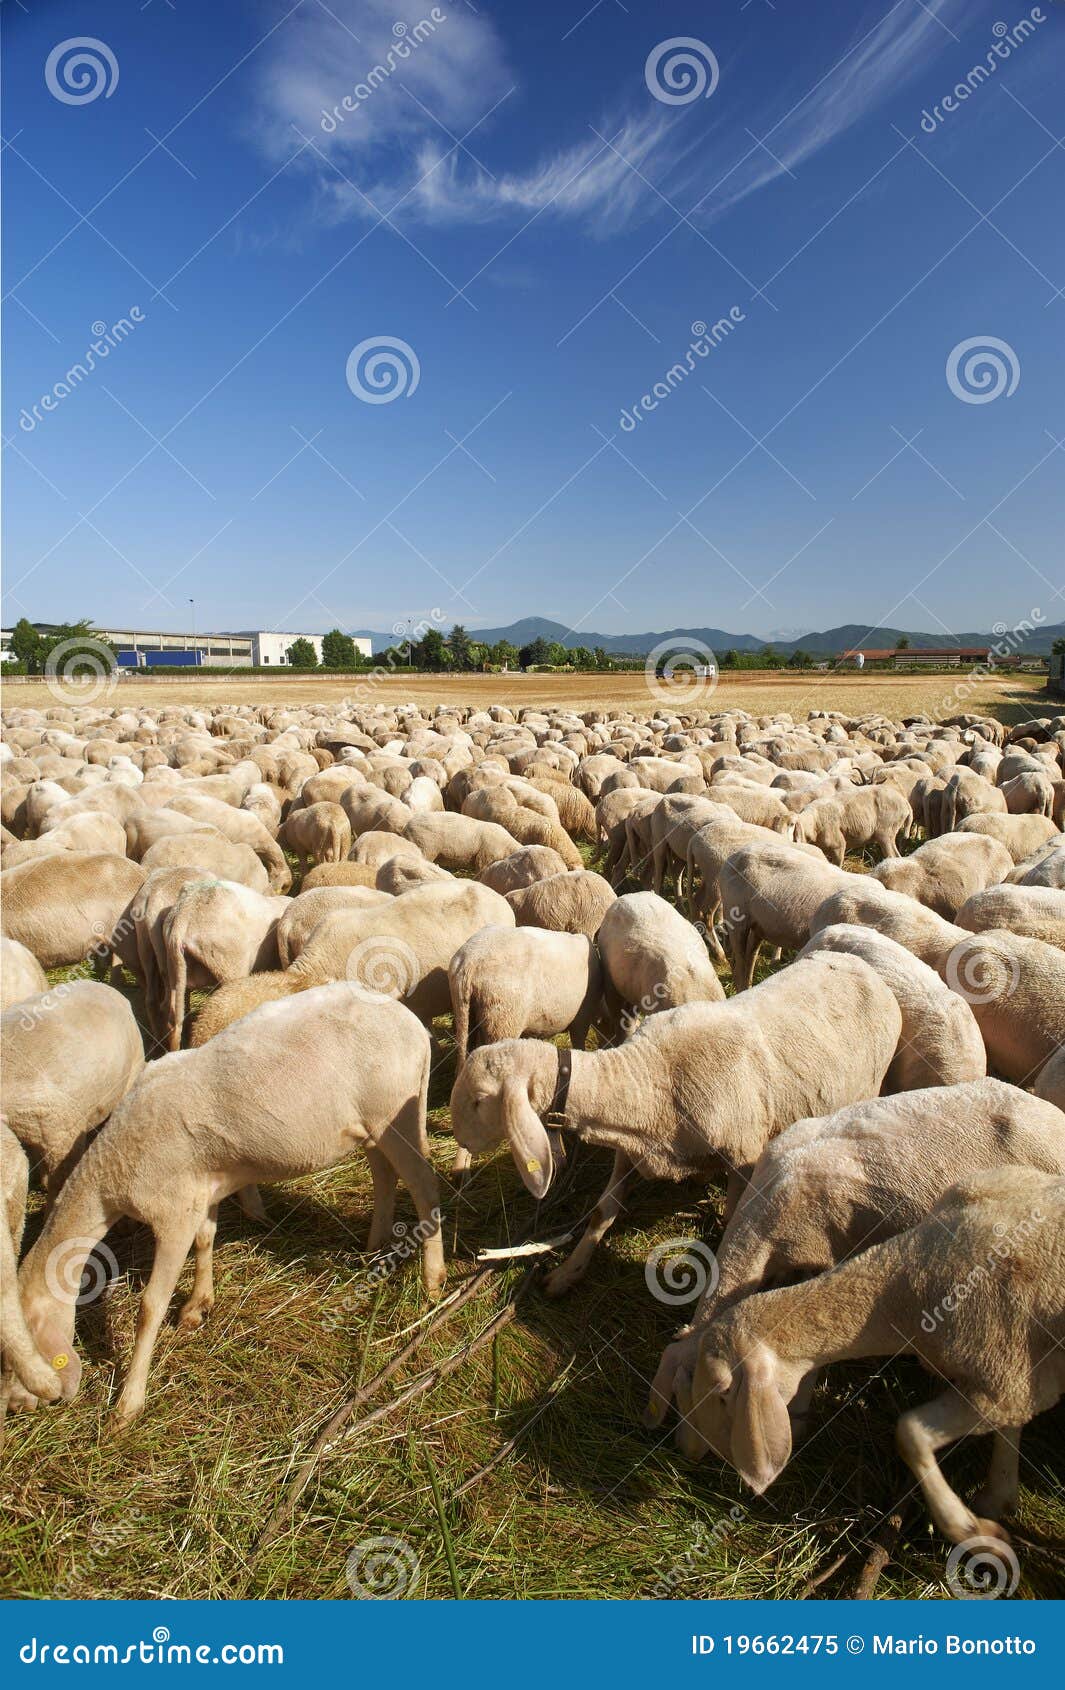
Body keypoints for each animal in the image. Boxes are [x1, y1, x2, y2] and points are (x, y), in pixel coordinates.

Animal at [14, 985, 444, 1422]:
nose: (16, 1406)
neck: (110, 1172)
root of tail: (412, 1026)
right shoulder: (202, 1189)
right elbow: (206, 1241)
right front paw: (197, 1306)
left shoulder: (173, 1214)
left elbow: (150, 1306)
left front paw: (127, 1404)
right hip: (370, 1125)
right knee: (384, 1174)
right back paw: (374, 1246)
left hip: (394, 1112)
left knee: (423, 1185)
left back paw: (433, 1278)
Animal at [450, 951, 902, 1296]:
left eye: (479, 1100)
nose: (456, 1135)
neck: (653, 1075)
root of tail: (865, 969)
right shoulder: (630, 1148)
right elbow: (601, 1211)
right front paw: (566, 1274)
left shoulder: (744, 1156)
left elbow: (733, 1222)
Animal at [674, 1166, 1064, 1546]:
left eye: (723, 1392)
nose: (688, 1451)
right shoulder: (1019, 1376)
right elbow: (1010, 1429)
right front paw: (998, 1499)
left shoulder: (1002, 1383)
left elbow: (910, 1433)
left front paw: (970, 1530)